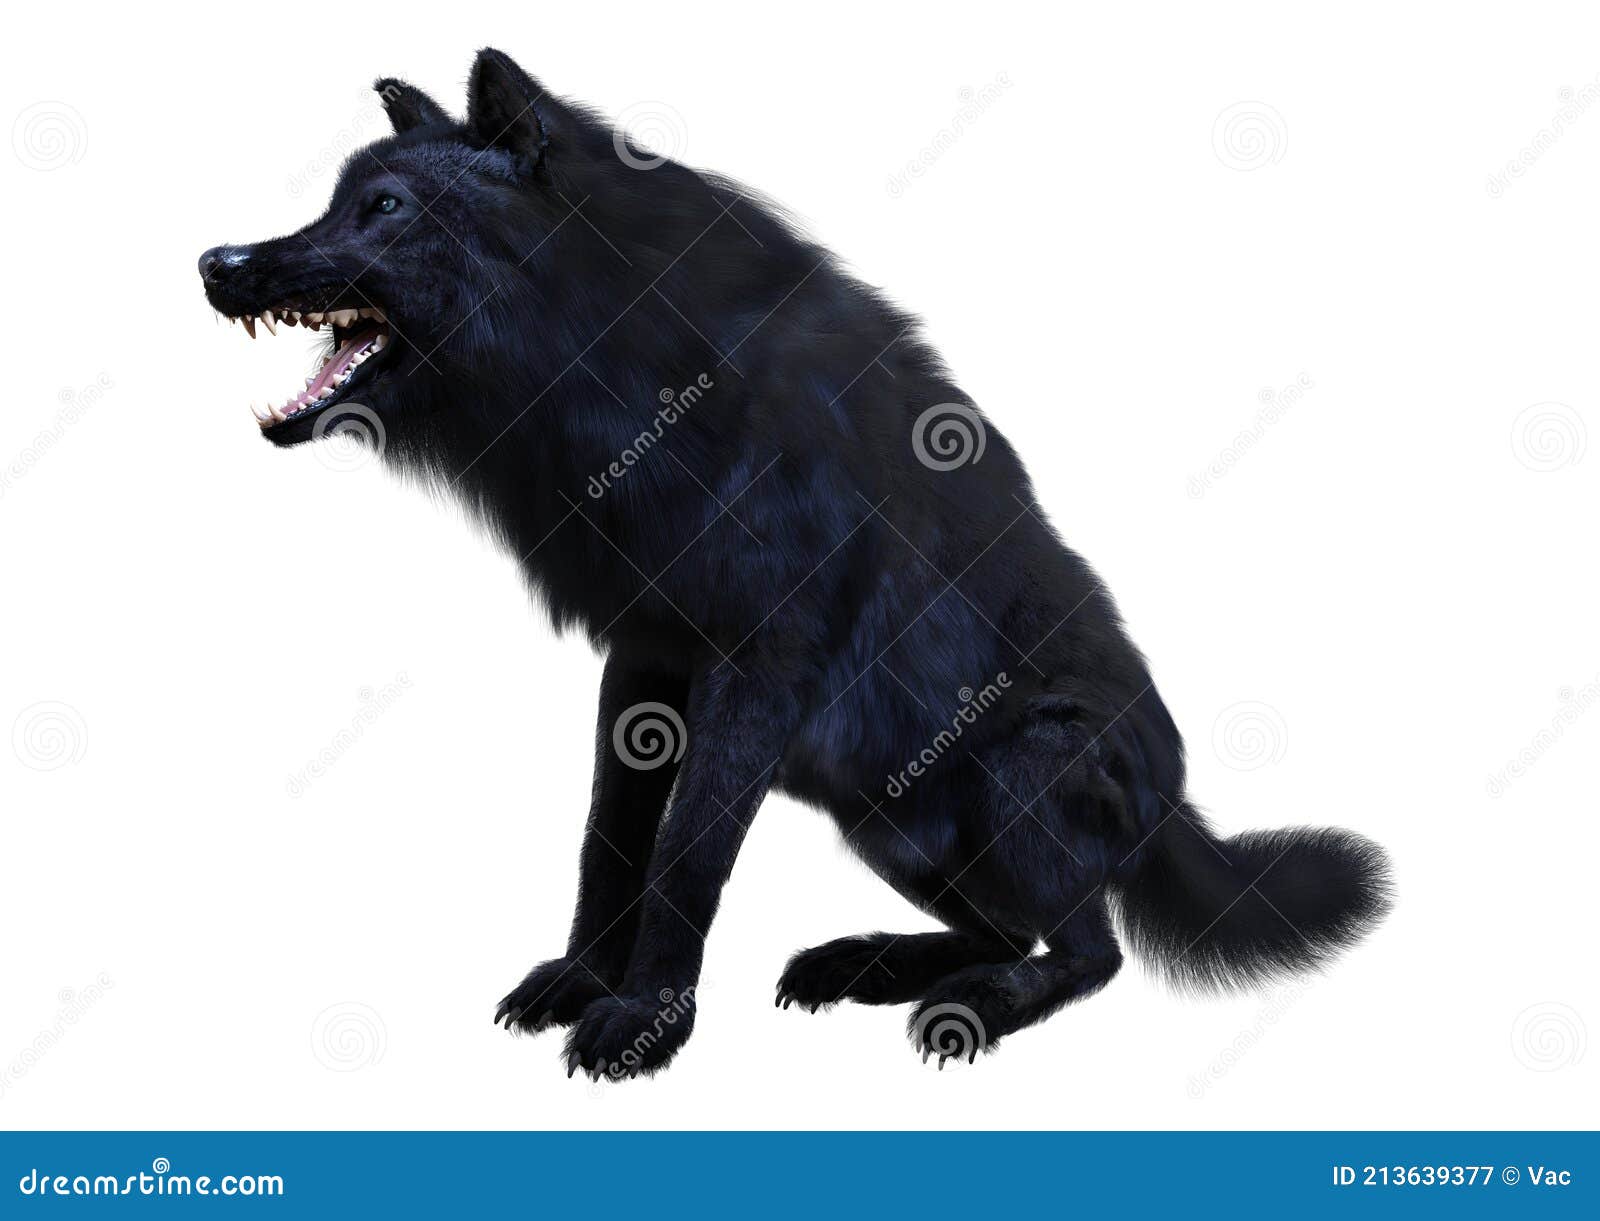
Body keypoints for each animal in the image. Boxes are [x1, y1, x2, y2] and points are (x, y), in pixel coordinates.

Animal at [198, 48, 1392, 1079]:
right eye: (334, 202)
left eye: (384, 209)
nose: (218, 262)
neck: (624, 373)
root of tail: (1175, 806)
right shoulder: (647, 658)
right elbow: (610, 841)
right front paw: (586, 980)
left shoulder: (756, 664)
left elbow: (686, 857)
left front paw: (643, 1021)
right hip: (889, 823)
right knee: (1016, 931)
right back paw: (868, 962)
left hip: (1004, 775)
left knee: (1091, 953)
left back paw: (969, 1007)